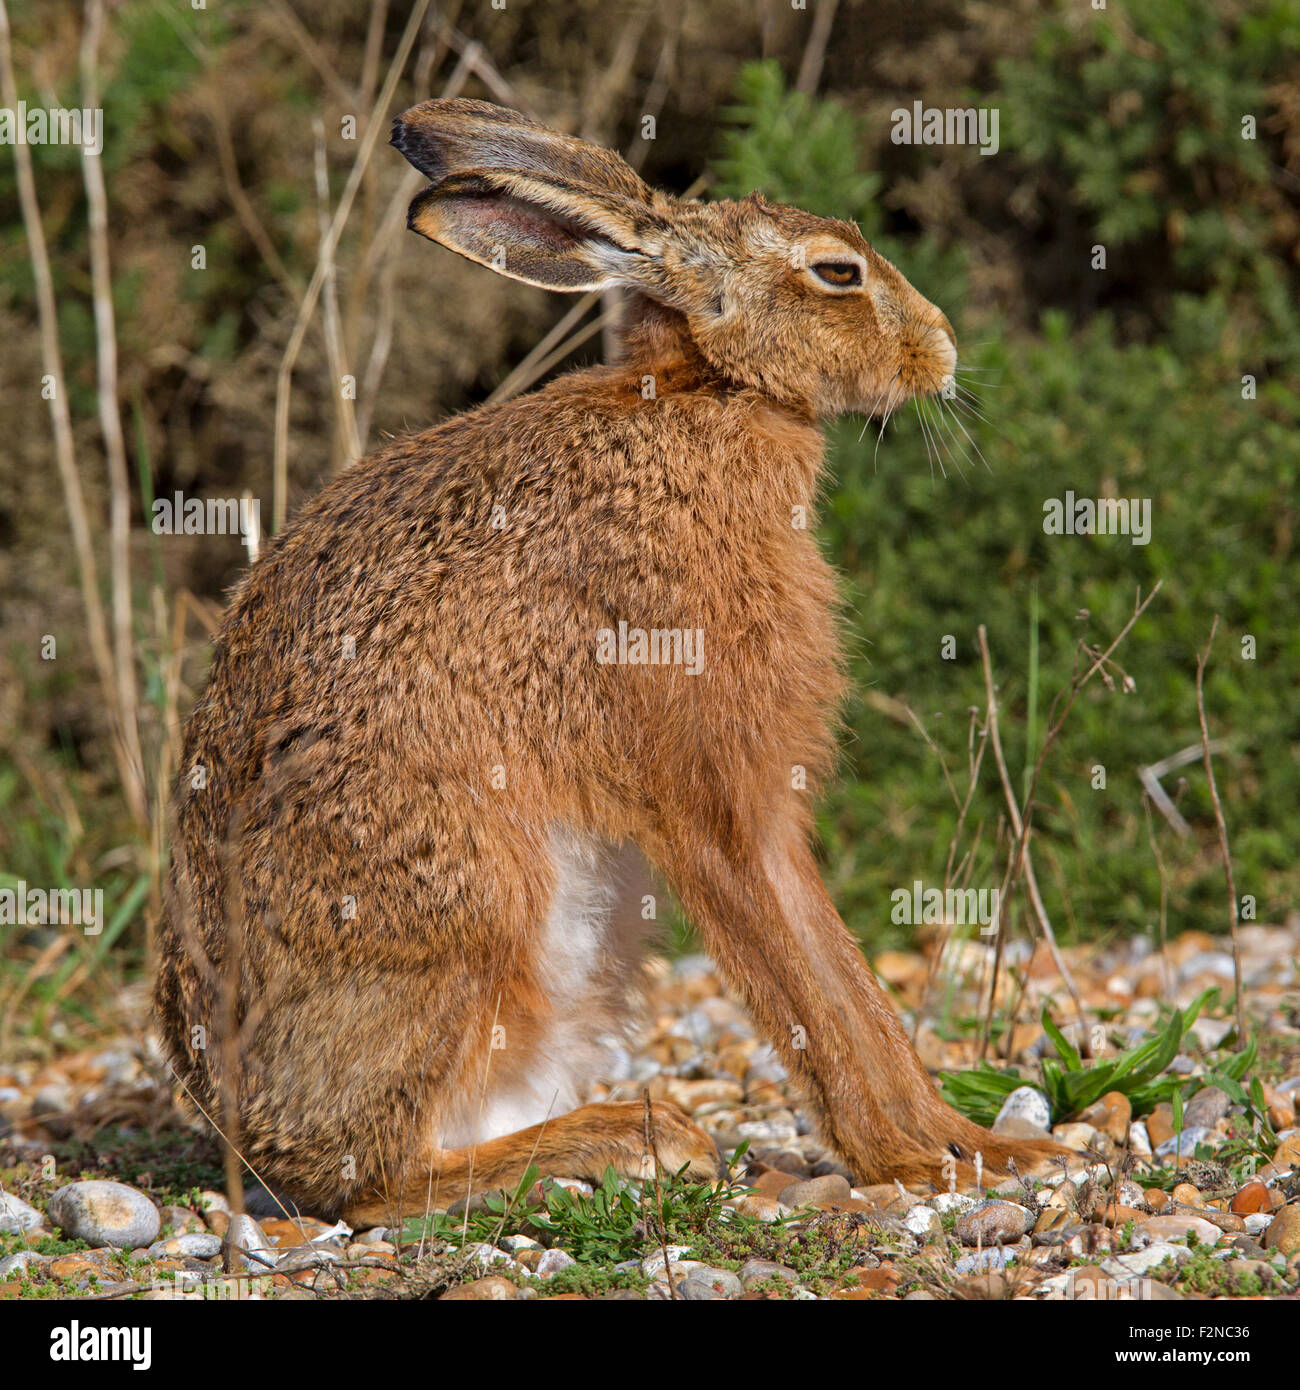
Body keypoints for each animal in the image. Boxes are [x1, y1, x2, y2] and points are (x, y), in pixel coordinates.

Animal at [155, 98, 1067, 1228]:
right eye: (837, 272)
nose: (942, 350)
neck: (711, 397)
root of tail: (253, 1130)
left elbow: (847, 981)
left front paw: (979, 1147)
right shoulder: (713, 798)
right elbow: (800, 987)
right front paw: (905, 1163)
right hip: (471, 912)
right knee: (376, 1182)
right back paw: (634, 1136)